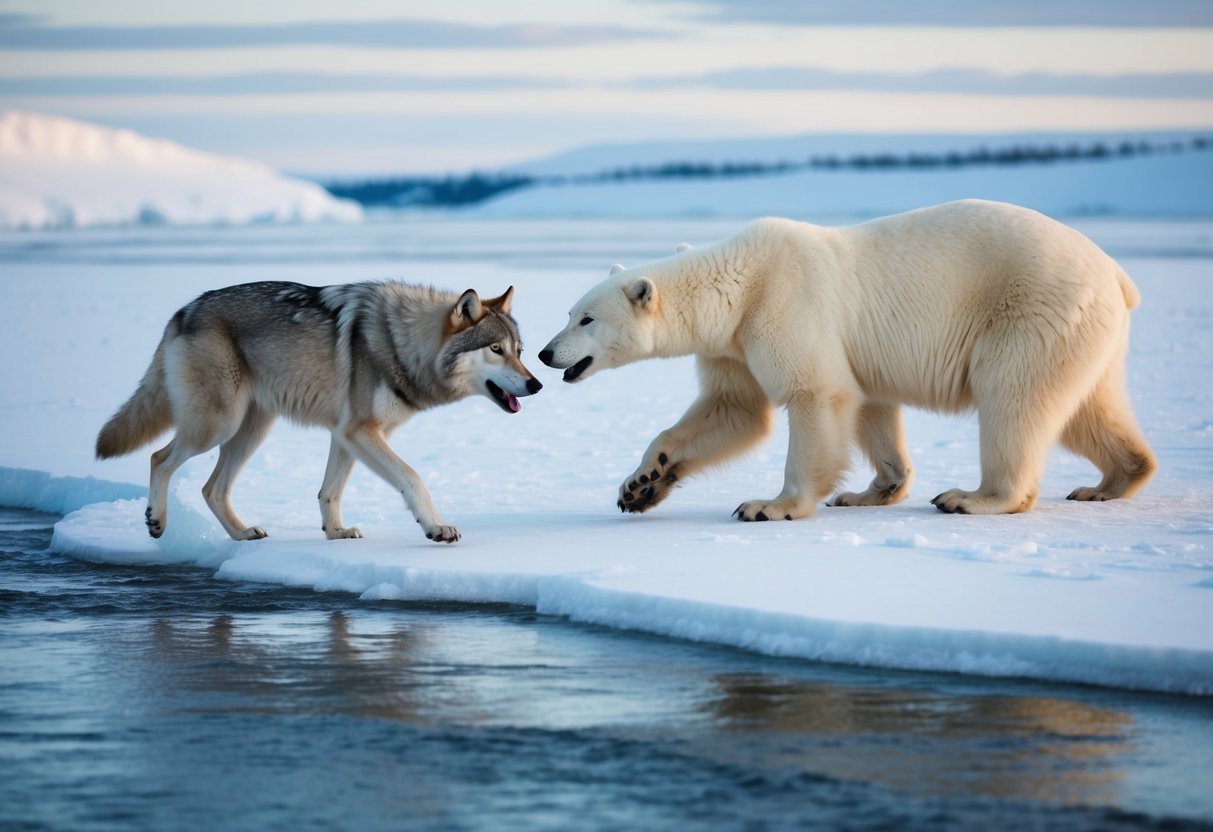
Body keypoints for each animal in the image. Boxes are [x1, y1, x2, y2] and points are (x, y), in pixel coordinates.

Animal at [96, 280, 541, 543]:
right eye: (496, 350)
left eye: (520, 352)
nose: (536, 384)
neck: (401, 343)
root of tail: (182, 312)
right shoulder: (361, 431)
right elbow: (413, 478)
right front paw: (436, 526)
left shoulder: (347, 434)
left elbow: (330, 491)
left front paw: (335, 532)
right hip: (218, 426)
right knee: (159, 458)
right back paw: (156, 521)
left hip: (251, 431)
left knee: (211, 489)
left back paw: (242, 534)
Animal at [539, 200, 1155, 520]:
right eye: (569, 312)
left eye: (584, 319)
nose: (546, 353)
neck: (741, 283)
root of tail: (1117, 274)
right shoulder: (734, 346)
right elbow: (734, 410)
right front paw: (640, 485)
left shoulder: (786, 306)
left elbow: (814, 394)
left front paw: (770, 506)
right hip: (1082, 331)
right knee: (1087, 407)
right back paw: (1111, 481)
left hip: (1029, 312)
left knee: (1013, 398)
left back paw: (972, 497)